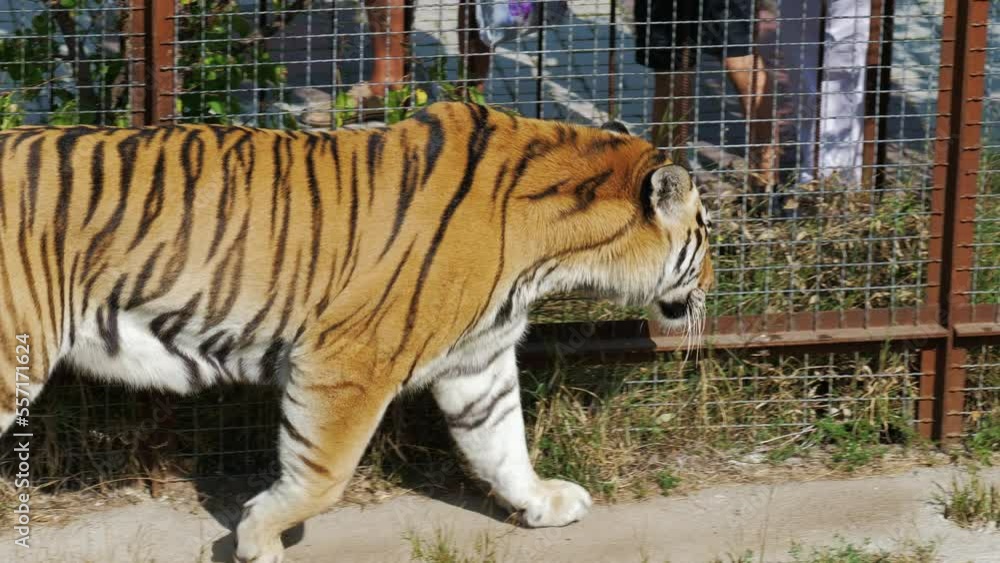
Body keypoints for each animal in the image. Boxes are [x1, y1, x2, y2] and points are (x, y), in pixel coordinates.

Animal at [0, 101, 712, 562]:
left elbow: (502, 442)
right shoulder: (348, 360)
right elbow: (324, 473)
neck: (553, 255)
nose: (710, 281)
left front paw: (542, 504)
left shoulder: (476, 361)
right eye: (705, 235)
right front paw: (258, 539)